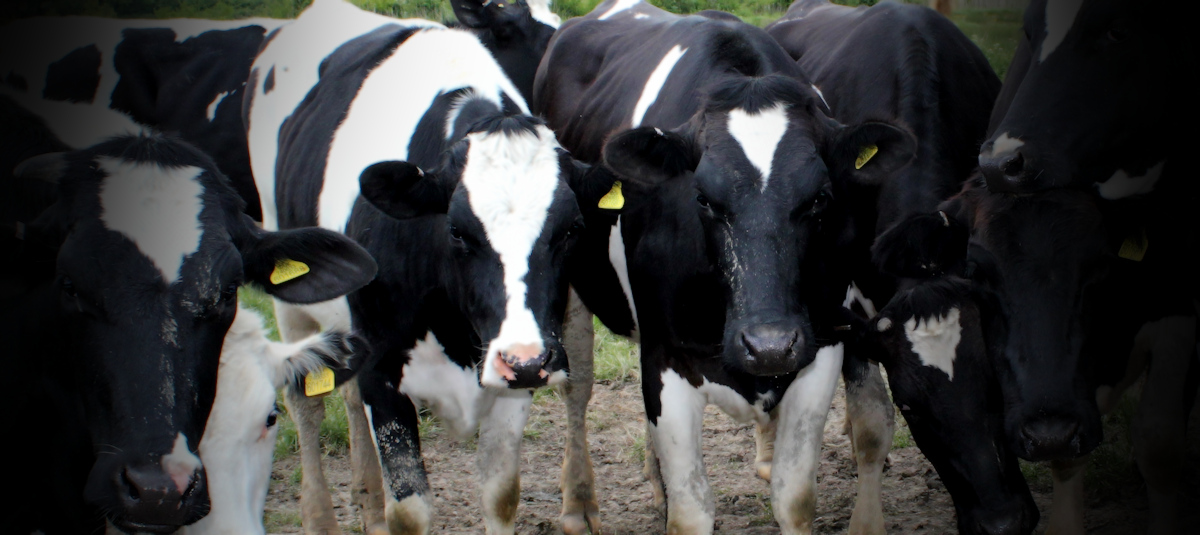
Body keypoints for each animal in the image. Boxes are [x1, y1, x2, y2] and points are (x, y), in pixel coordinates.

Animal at [244, 1, 609, 533]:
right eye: (456, 231)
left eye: (571, 229)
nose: (525, 359)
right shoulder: (383, 371)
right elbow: (409, 511)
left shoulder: (513, 378)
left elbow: (501, 495)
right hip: (291, 292)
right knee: (305, 404)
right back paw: (321, 516)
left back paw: (367, 501)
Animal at [532, 2, 917, 532]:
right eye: (702, 198)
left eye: (820, 198)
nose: (769, 345)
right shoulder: (667, 358)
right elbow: (691, 511)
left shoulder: (822, 347)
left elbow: (795, 498)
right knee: (578, 385)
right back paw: (578, 502)